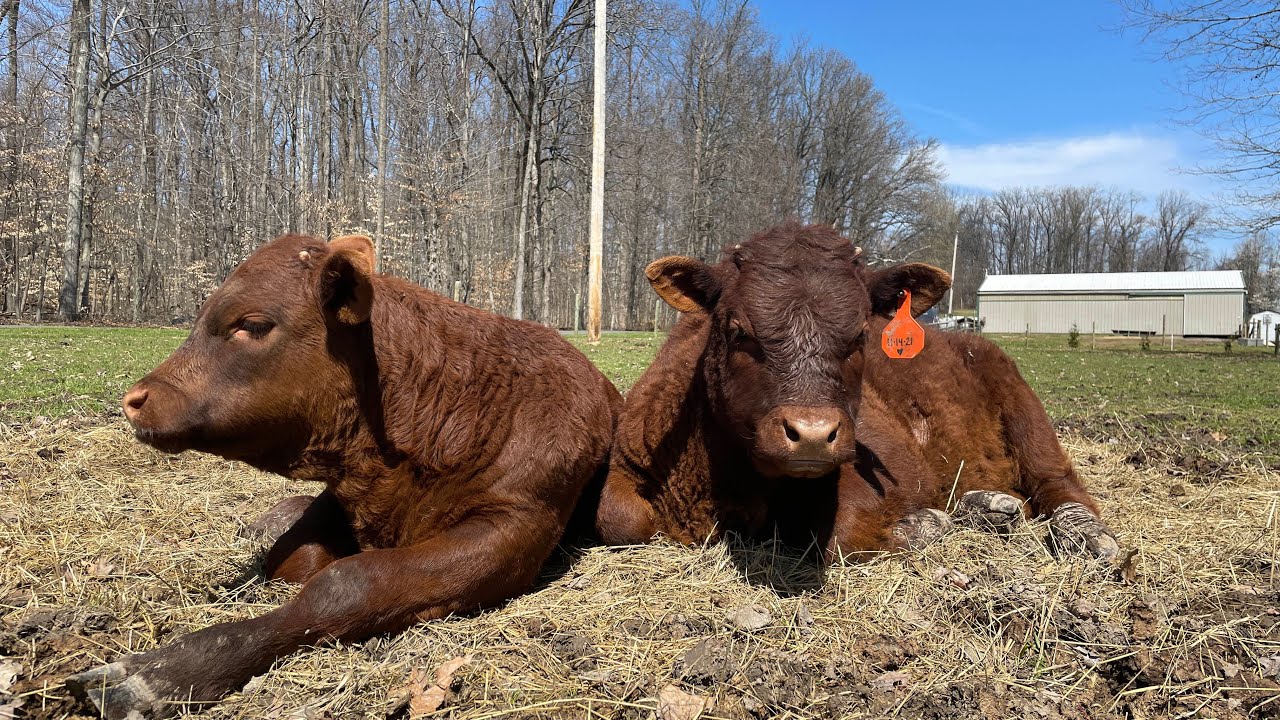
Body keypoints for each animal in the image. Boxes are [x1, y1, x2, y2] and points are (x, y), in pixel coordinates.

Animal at [66, 234, 621, 719]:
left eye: (252, 323)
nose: (135, 400)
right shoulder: (341, 497)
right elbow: (294, 556)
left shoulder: (514, 524)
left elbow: (346, 582)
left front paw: (155, 675)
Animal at [595, 222, 1117, 562]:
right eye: (738, 330)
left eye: (860, 334)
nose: (810, 434)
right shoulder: (626, 463)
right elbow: (618, 519)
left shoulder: (885, 464)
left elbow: (840, 536)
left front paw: (925, 524)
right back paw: (988, 507)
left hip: (1023, 407)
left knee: (1058, 484)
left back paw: (1087, 536)